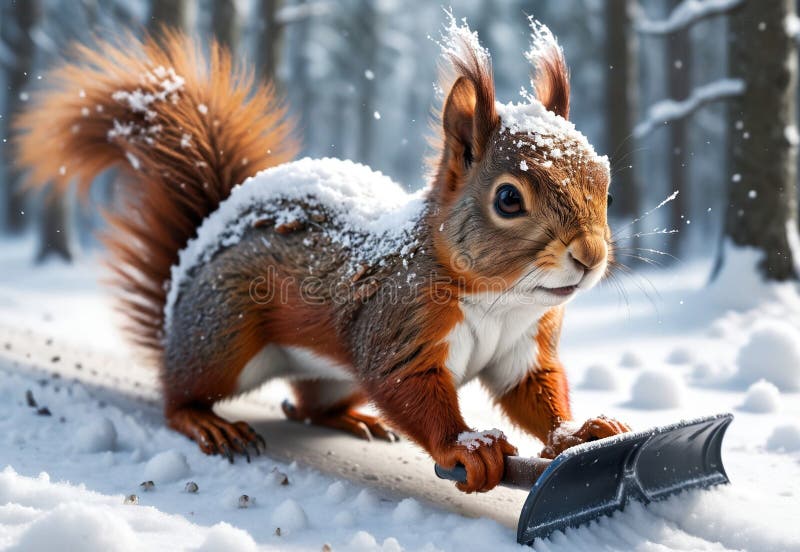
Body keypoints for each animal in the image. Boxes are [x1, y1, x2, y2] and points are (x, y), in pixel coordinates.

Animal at [15, 18, 630, 493]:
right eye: (508, 199)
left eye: (607, 190)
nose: (589, 255)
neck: (501, 300)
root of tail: (175, 316)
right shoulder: (398, 323)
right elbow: (410, 389)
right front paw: (467, 446)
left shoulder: (526, 349)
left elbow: (538, 396)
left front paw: (578, 433)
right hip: (222, 335)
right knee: (179, 394)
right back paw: (206, 422)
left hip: (331, 374)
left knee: (310, 405)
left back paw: (353, 420)